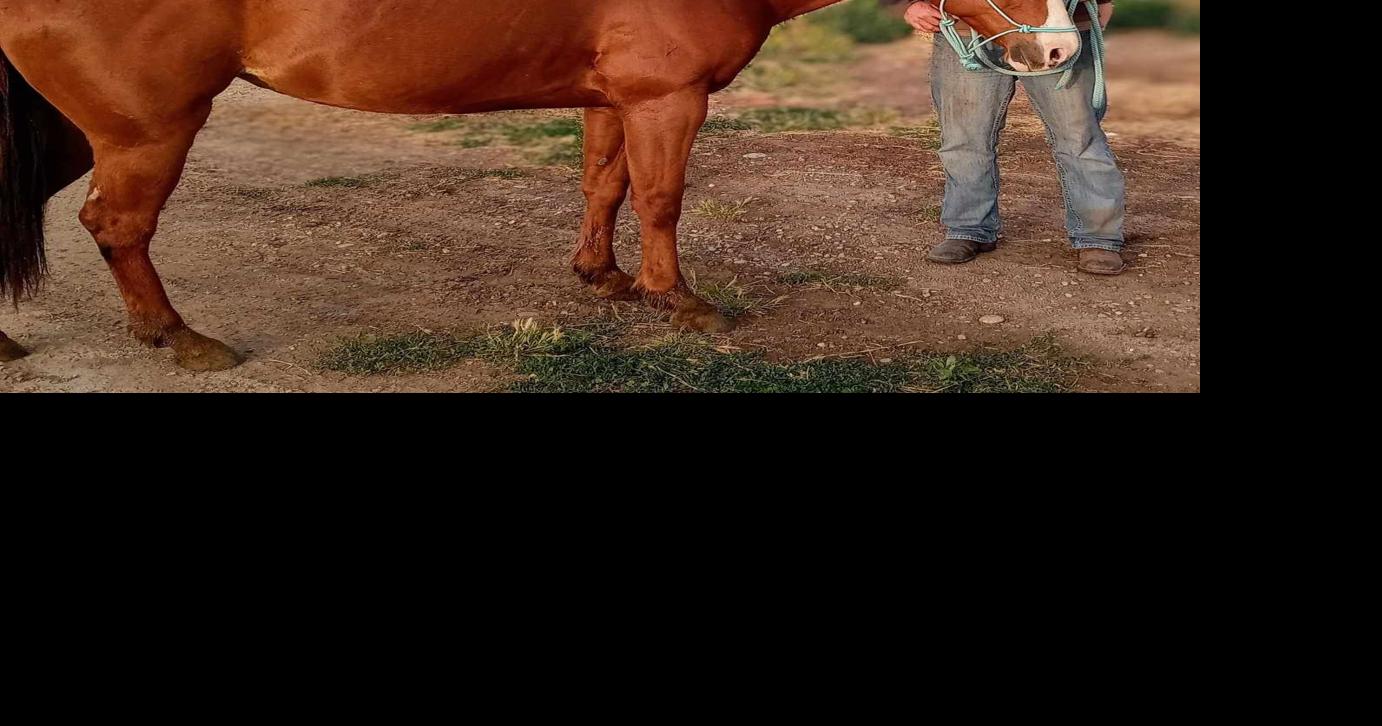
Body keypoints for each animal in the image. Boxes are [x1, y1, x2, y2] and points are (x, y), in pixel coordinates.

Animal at [0, 0, 1078, 370]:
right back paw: (179, 340)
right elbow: (661, 200)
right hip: (145, 129)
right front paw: (682, 303)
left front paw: (603, 280)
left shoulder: (614, 98)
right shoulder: (666, 99)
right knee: (118, 224)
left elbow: (603, 188)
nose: (1063, 47)